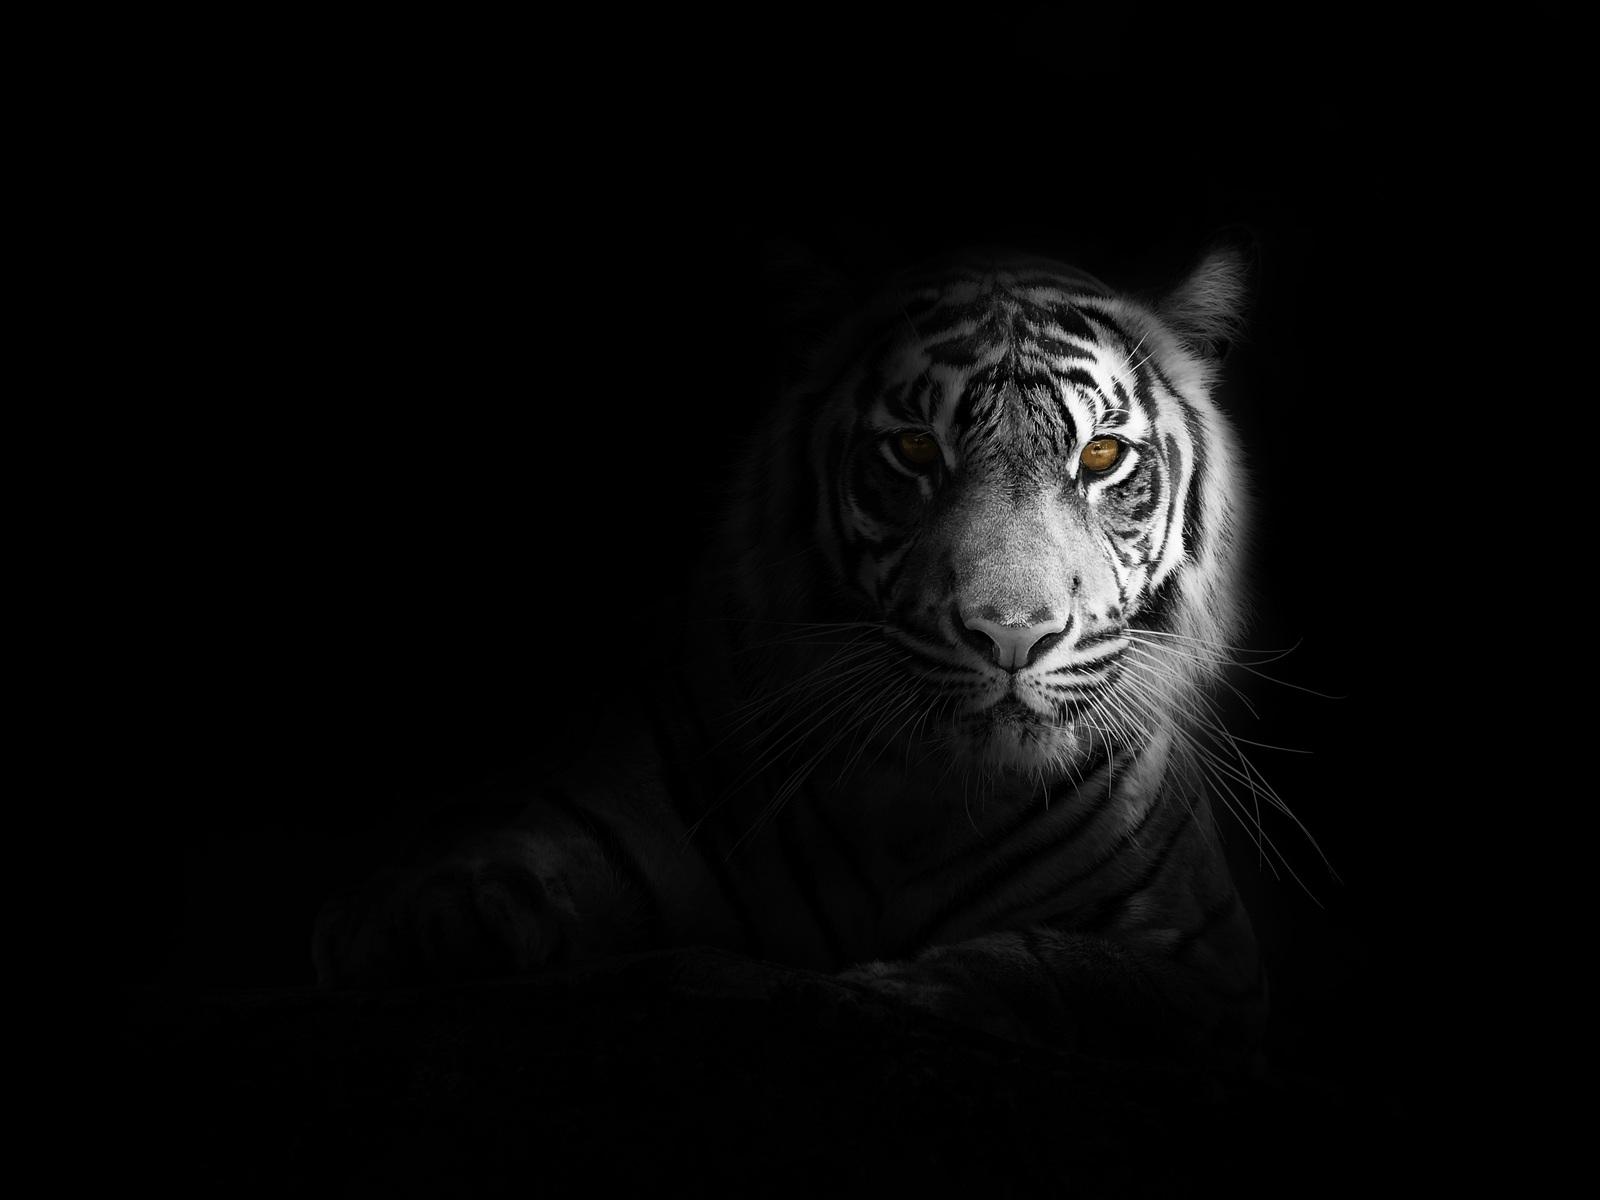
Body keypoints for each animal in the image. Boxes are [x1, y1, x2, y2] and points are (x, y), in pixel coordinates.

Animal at [313, 242, 1275, 1066]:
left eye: (1101, 455)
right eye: (914, 448)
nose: (1011, 633)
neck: (921, 800)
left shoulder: (1208, 962)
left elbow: (1057, 969)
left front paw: (892, 991)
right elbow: (465, 885)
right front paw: (428, 935)